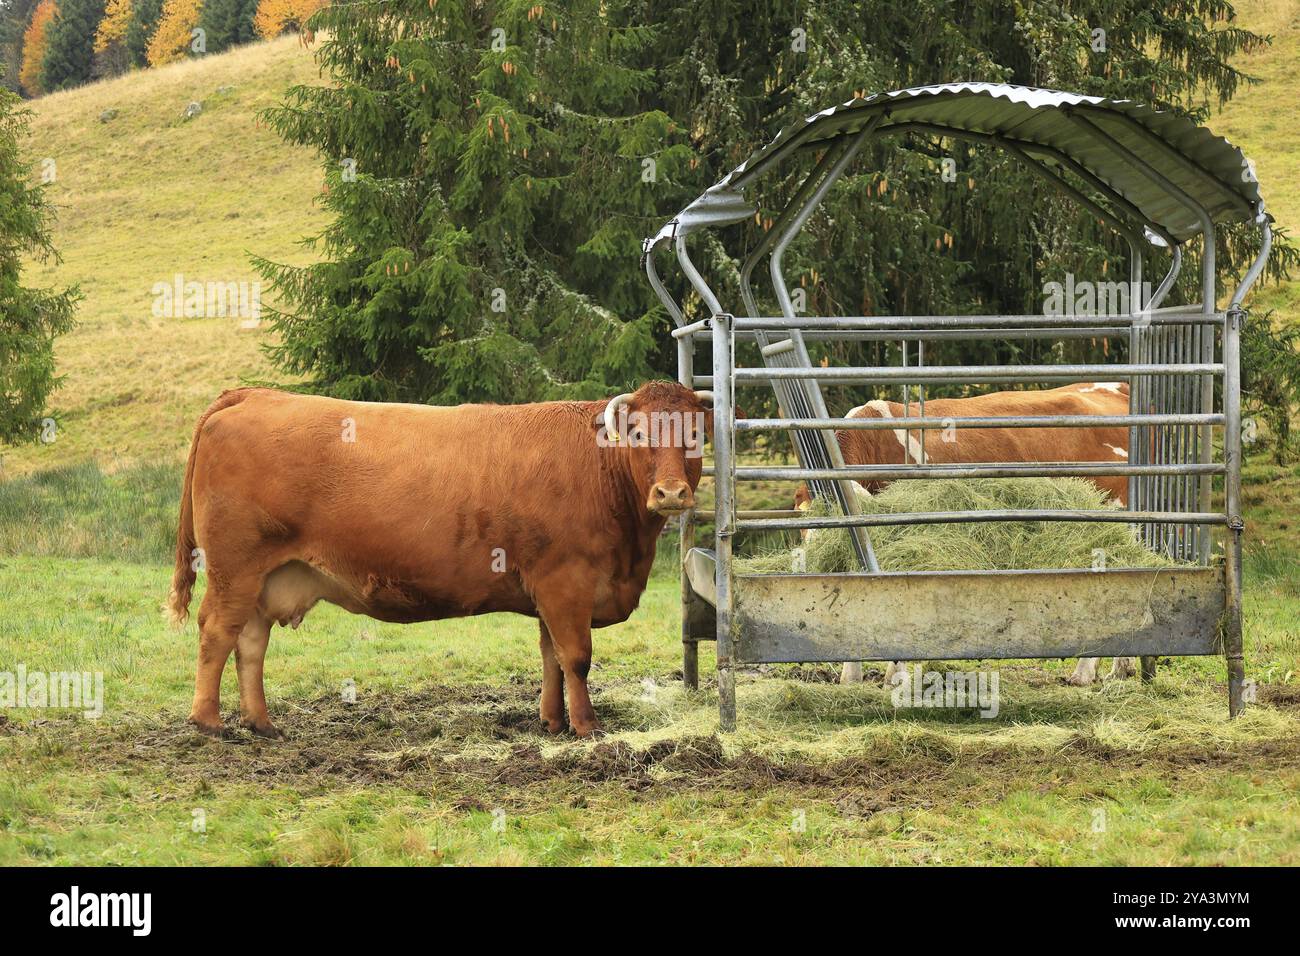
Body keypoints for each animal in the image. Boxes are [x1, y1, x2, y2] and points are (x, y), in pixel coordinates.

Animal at [167, 381, 711, 740]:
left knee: (250, 642)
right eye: (638, 434)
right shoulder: (567, 582)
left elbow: (550, 658)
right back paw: (209, 721)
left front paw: (551, 721)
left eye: (694, 435)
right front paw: (586, 726)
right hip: (235, 568)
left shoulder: (550, 592)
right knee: (217, 631)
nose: (671, 493)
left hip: (267, 577)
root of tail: (255, 393)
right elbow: (576, 658)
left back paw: (261, 723)